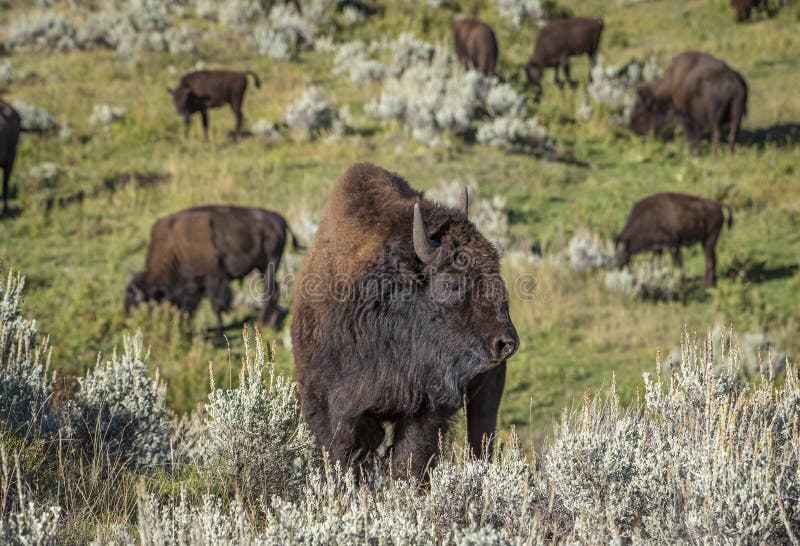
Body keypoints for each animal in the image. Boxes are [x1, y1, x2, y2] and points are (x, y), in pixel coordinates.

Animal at [125, 205, 303, 335]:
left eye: (139, 305)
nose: (138, 324)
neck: (175, 247)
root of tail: (278, 218)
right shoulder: (194, 287)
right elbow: (190, 307)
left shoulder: (214, 280)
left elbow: (216, 306)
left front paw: (218, 331)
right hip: (263, 267)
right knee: (275, 290)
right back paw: (270, 324)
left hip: (270, 264)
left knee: (269, 292)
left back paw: (260, 324)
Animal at [291, 163, 518, 480]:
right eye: (451, 283)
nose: (506, 343)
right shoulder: (337, 409)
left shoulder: (425, 408)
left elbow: (409, 460)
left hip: (485, 393)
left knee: (480, 442)